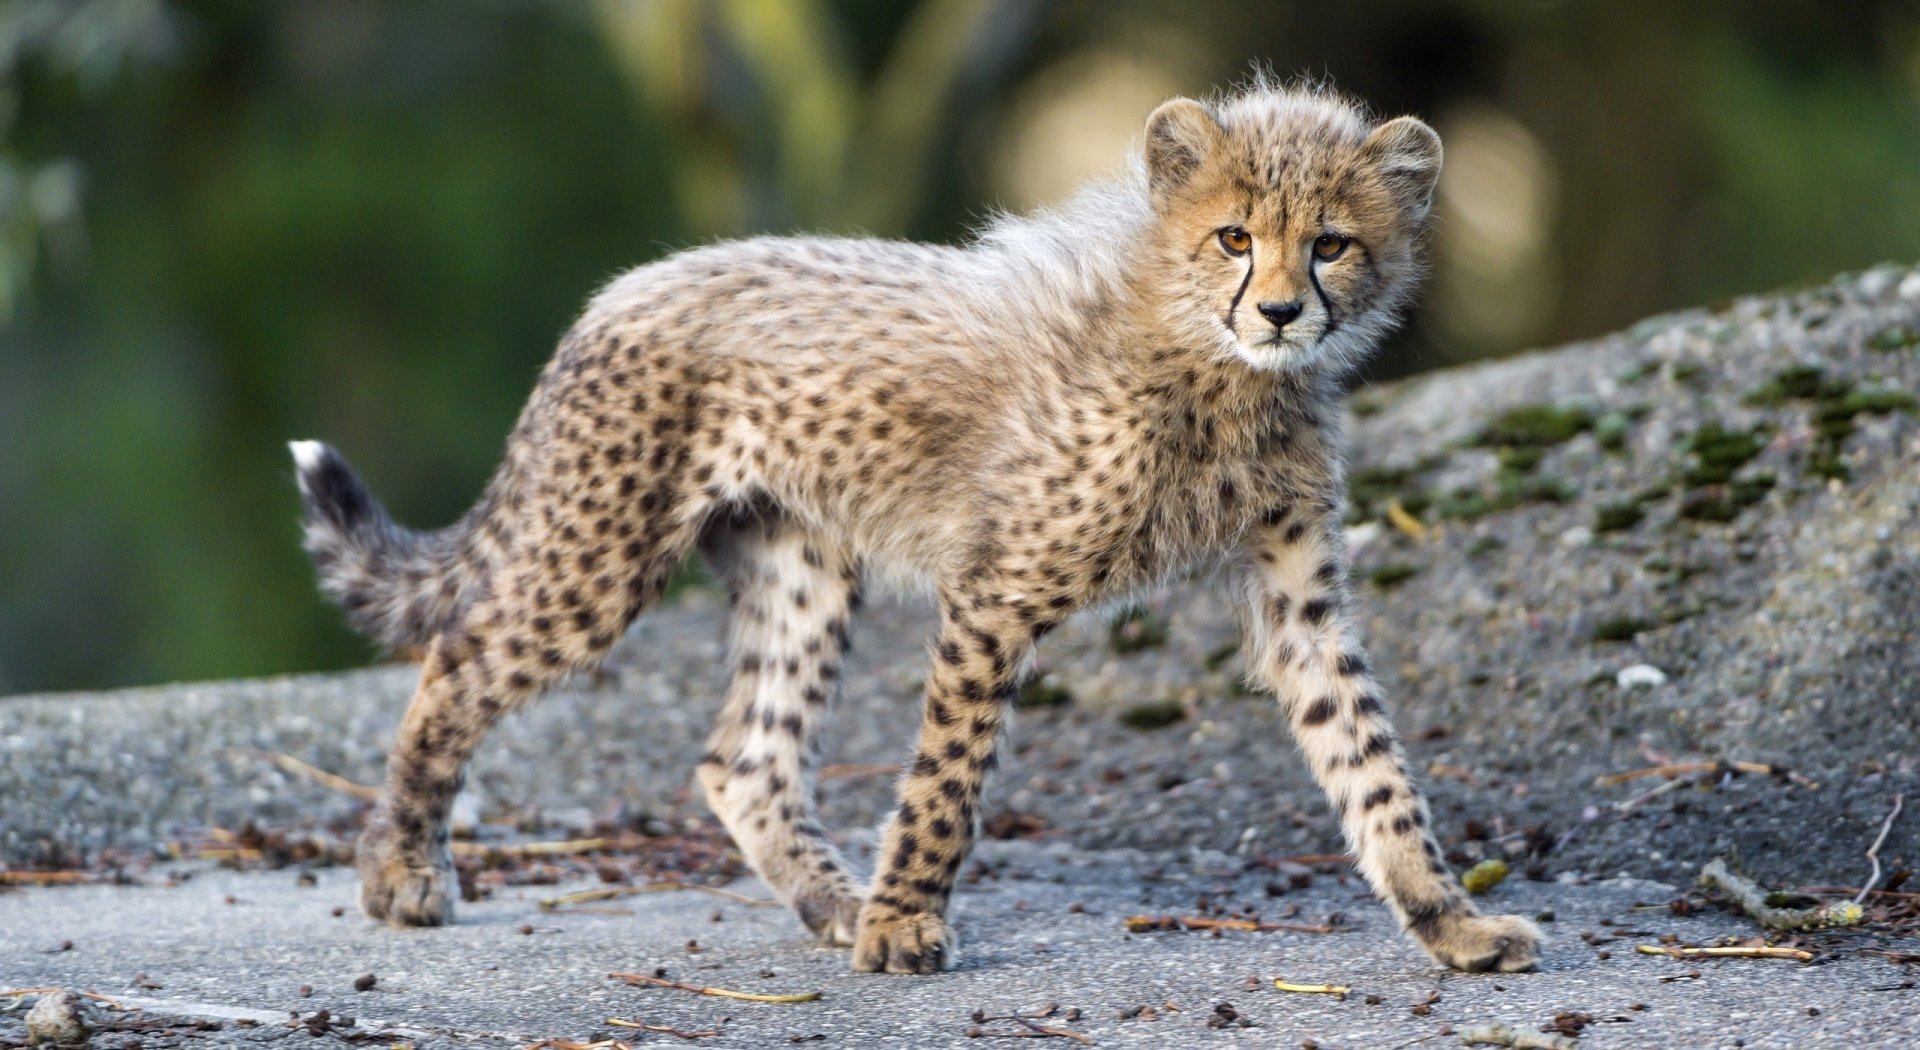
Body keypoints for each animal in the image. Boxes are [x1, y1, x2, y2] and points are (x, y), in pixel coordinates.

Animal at [290, 79, 1541, 975]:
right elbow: (948, 776)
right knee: (457, 665)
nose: (1281, 311)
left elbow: (1370, 761)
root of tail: (622, 288)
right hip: (599, 556)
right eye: (1235, 238)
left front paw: (1451, 922)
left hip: (801, 564)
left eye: (1331, 243)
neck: (1221, 371)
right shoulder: (998, 588)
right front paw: (906, 924)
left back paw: (831, 903)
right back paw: (401, 874)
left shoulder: (1297, 597)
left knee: (741, 759)